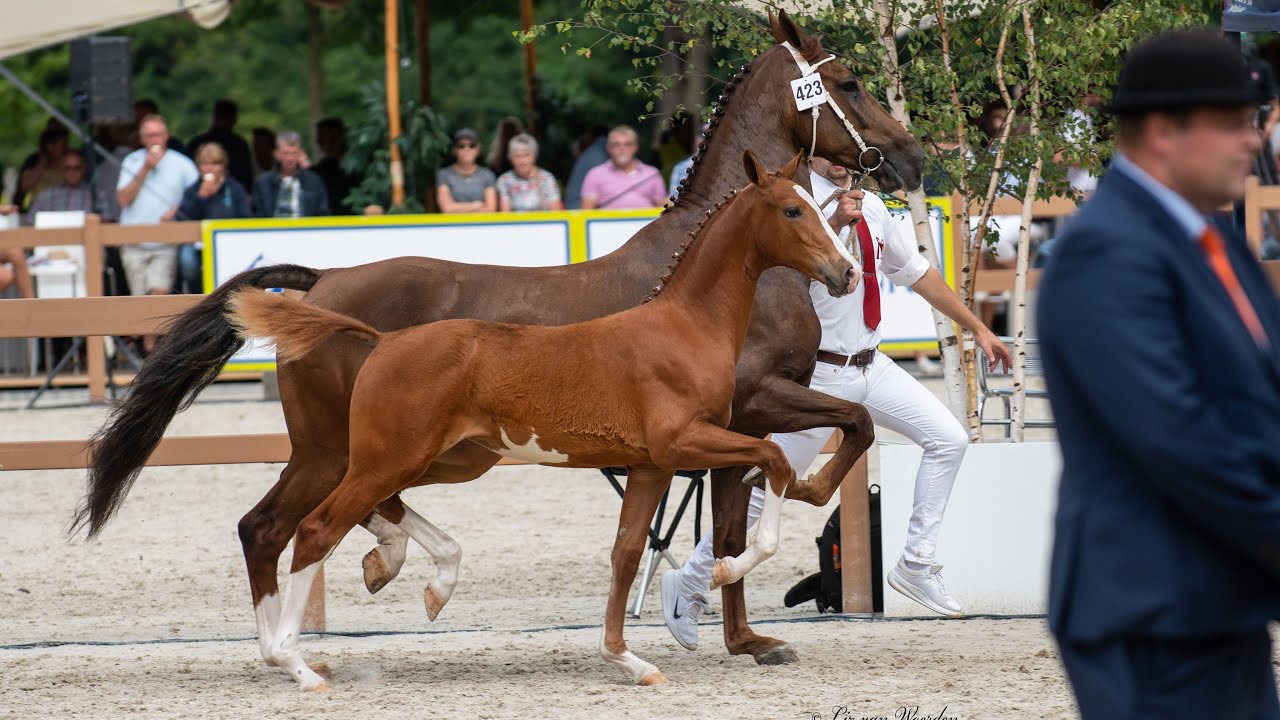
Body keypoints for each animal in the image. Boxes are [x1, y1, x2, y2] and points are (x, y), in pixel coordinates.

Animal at [226, 151, 857, 690]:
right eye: (793, 210)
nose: (847, 272)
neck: (685, 328)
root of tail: (382, 341)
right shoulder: (689, 442)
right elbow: (773, 467)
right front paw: (728, 569)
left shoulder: (653, 466)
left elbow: (626, 553)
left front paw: (626, 659)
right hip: (382, 460)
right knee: (312, 529)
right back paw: (298, 662)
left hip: (434, 460)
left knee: (322, 520)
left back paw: (414, 586)